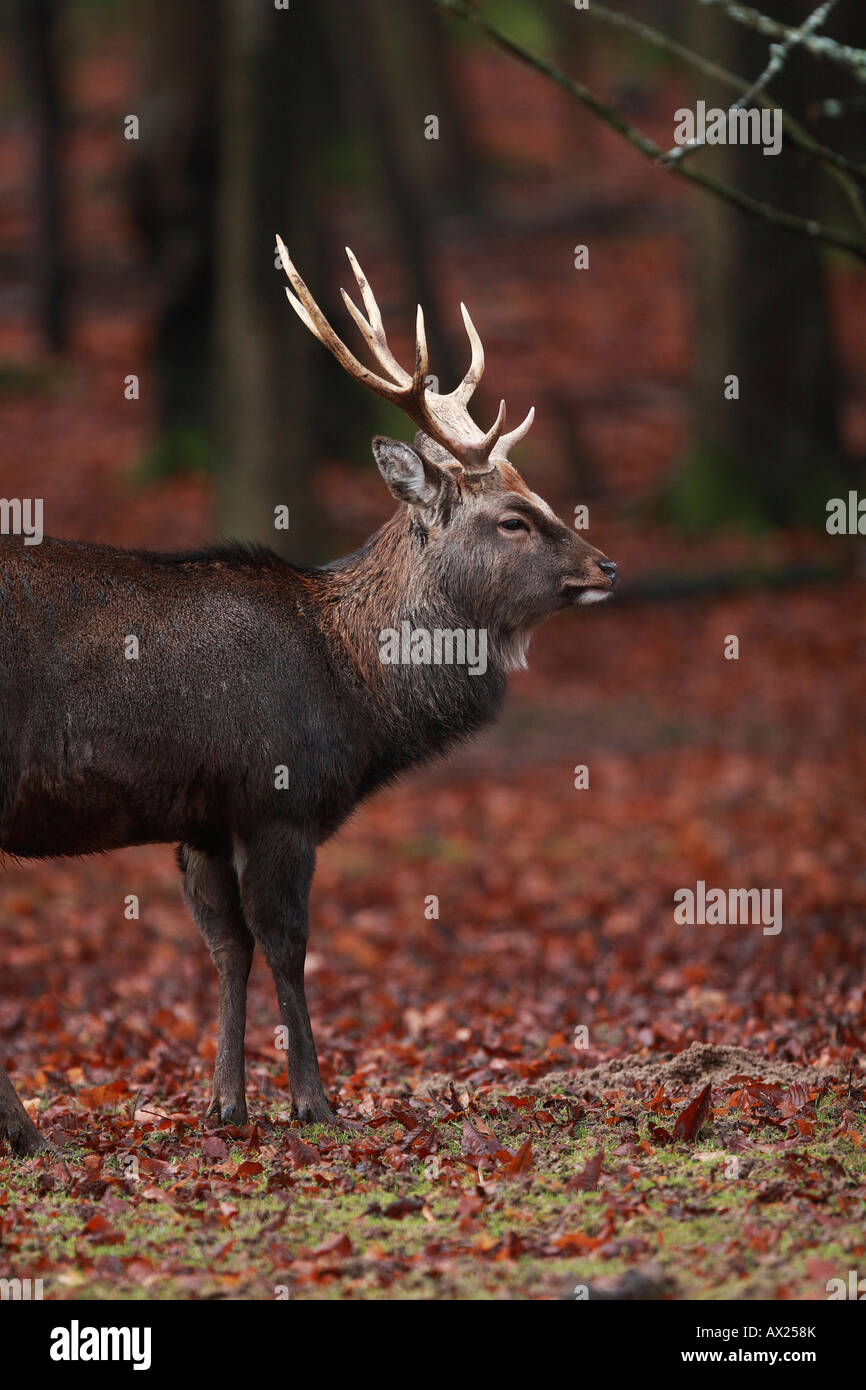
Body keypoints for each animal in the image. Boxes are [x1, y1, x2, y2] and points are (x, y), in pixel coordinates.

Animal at [0, 243, 617, 1155]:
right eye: (514, 518)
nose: (607, 566)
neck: (356, 690)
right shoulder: (278, 796)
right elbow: (287, 944)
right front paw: (314, 1102)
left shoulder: (203, 821)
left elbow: (226, 947)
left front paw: (226, 1104)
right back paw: (27, 1132)